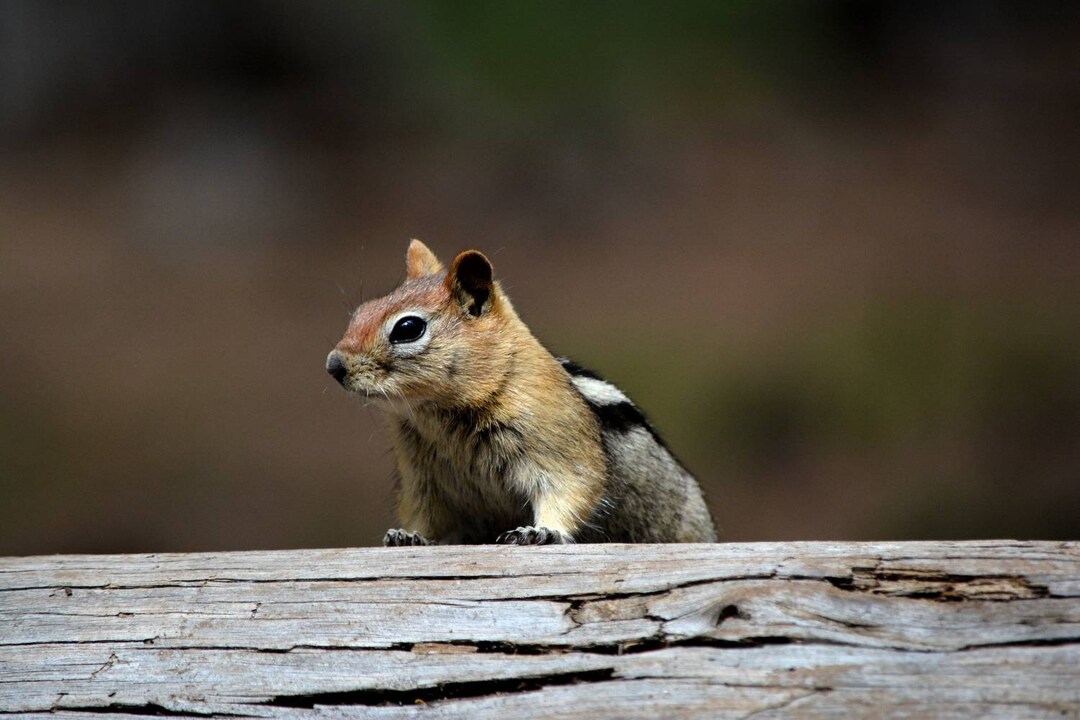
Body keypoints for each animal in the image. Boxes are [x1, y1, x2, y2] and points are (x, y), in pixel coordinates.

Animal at [326, 240, 717, 546]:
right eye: (361, 312)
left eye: (408, 328)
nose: (334, 366)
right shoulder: (421, 478)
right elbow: (424, 513)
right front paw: (408, 536)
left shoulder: (559, 445)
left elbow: (572, 488)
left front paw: (542, 531)